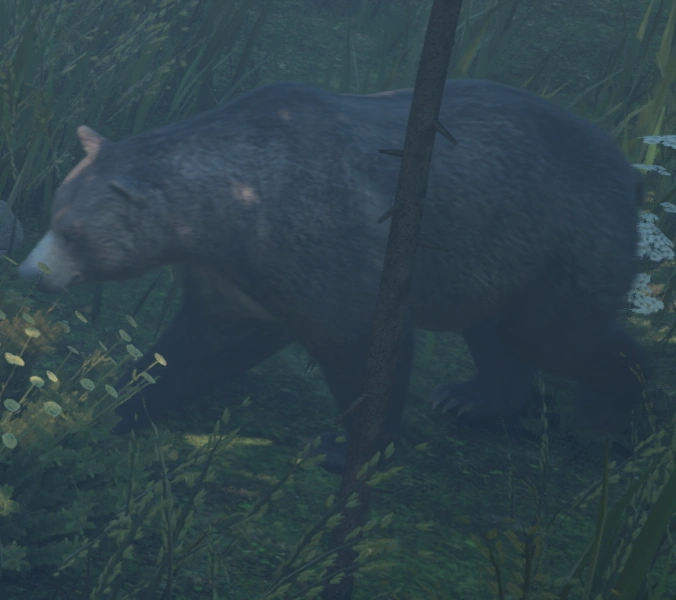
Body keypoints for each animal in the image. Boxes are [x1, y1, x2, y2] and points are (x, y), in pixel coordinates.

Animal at [17, 79, 646, 472]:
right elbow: (197, 346)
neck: (233, 204)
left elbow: (362, 340)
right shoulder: (237, 278)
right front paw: (108, 404)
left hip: (558, 237)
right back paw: (468, 398)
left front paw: (342, 447)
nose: (29, 273)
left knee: (556, 333)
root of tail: (628, 165)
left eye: (72, 232)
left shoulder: (325, 239)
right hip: (498, 254)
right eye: (55, 212)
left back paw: (609, 414)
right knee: (497, 333)